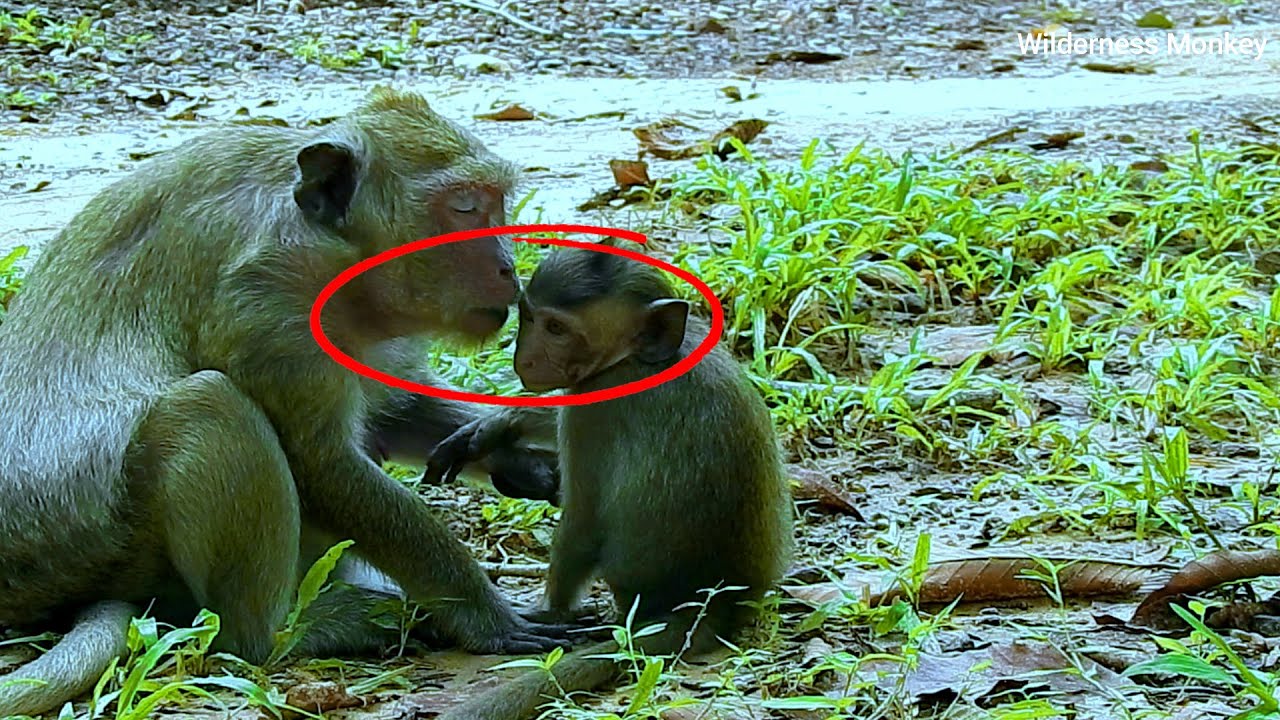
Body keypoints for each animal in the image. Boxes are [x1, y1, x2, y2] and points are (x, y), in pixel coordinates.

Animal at [0, 87, 571, 718]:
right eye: (465, 209)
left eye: (494, 206)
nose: (507, 268)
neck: (333, 252)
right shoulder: (266, 304)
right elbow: (321, 465)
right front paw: (483, 613)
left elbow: (397, 413)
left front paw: (505, 444)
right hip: (124, 550)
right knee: (209, 404)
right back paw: (283, 632)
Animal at [427, 245, 795, 720]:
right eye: (528, 316)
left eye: (557, 328)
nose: (524, 358)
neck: (634, 357)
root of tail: (711, 601)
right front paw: (497, 425)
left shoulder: (592, 407)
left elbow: (581, 522)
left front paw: (550, 612)